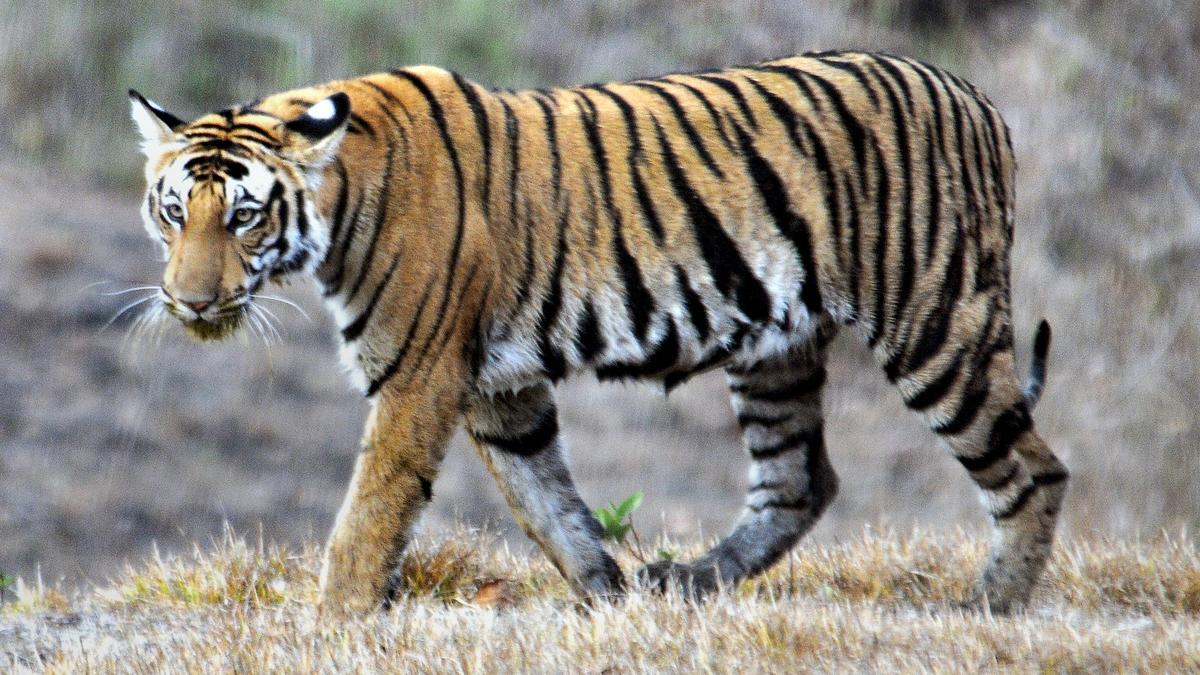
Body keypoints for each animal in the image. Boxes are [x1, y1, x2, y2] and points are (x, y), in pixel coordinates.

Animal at [129, 50, 1068, 614]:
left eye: (245, 216)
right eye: (174, 212)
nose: (191, 303)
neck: (338, 204)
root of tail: (974, 94)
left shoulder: (420, 375)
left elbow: (371, 509)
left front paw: (336, 619)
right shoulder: (500, 387)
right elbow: (547, 500)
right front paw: (606, 597)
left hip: (933, 318)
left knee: (1033, 469)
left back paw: (990, 607)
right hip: (776, 348)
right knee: (800, 477)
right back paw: (689, 580)